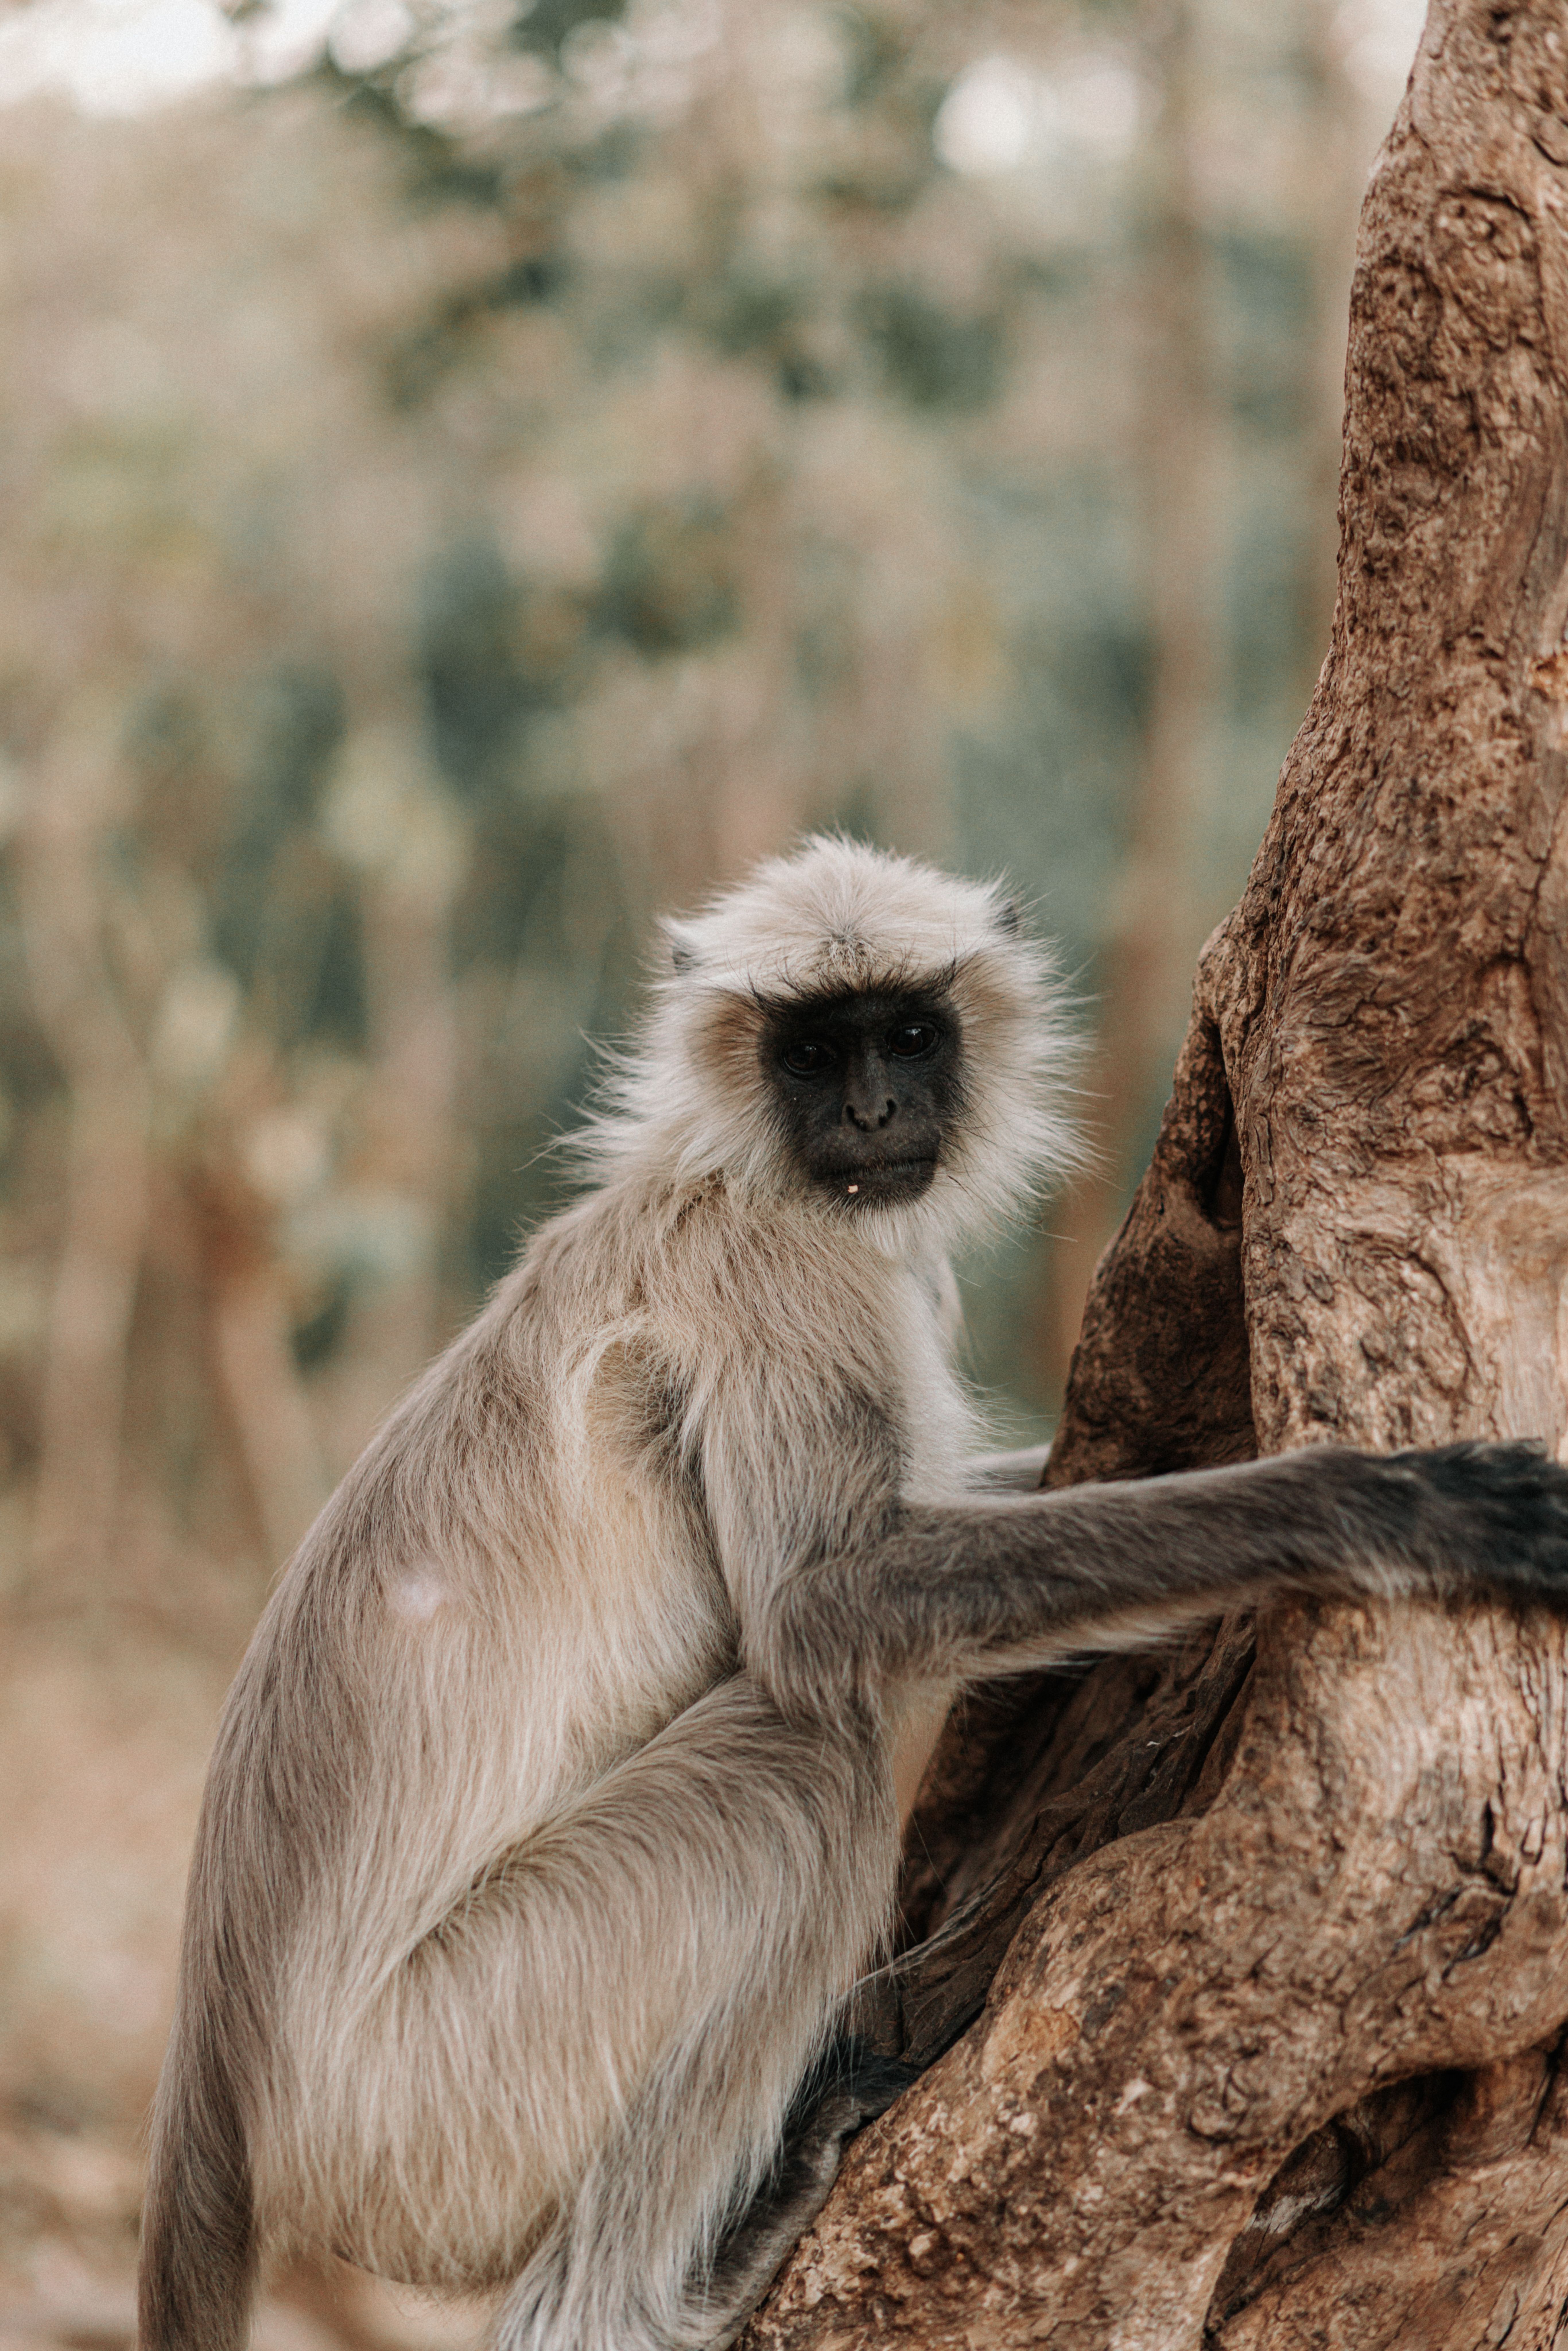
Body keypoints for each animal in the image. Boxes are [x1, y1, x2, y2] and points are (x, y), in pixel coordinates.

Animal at [139, 834, 1568, 2351]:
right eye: (817, 1049)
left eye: (908, 1035)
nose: (875, 1107)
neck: (735, 1175)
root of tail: (215, 2096)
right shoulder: (785, 1275)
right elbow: (824, 1611)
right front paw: (1370, 1507)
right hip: (423, 2097)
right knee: (796, 1773)